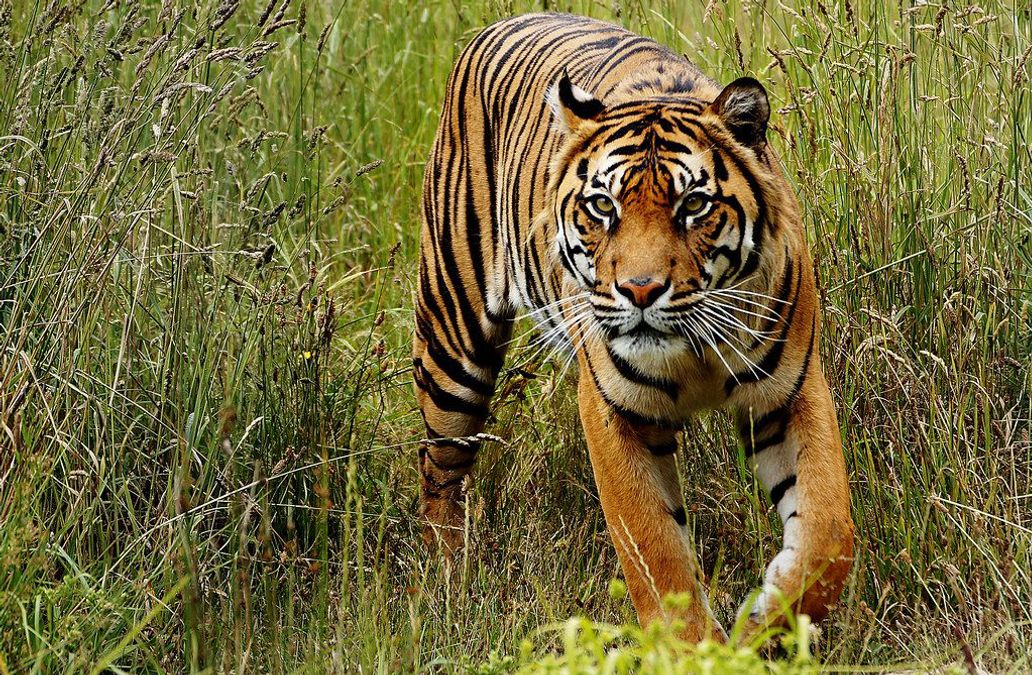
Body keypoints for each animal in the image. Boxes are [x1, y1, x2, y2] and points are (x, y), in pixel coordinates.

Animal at [412, 12, 854, 642]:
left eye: (693, 205)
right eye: (603, 206)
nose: (640, 291)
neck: (693, 350)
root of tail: (501, 22)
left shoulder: (789, 392)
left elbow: (829, 534)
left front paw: (765, 625)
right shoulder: (614, 411)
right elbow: (656, 551)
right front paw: (698, 650)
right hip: (454, 341)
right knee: (441, 469)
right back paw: (449, 583)